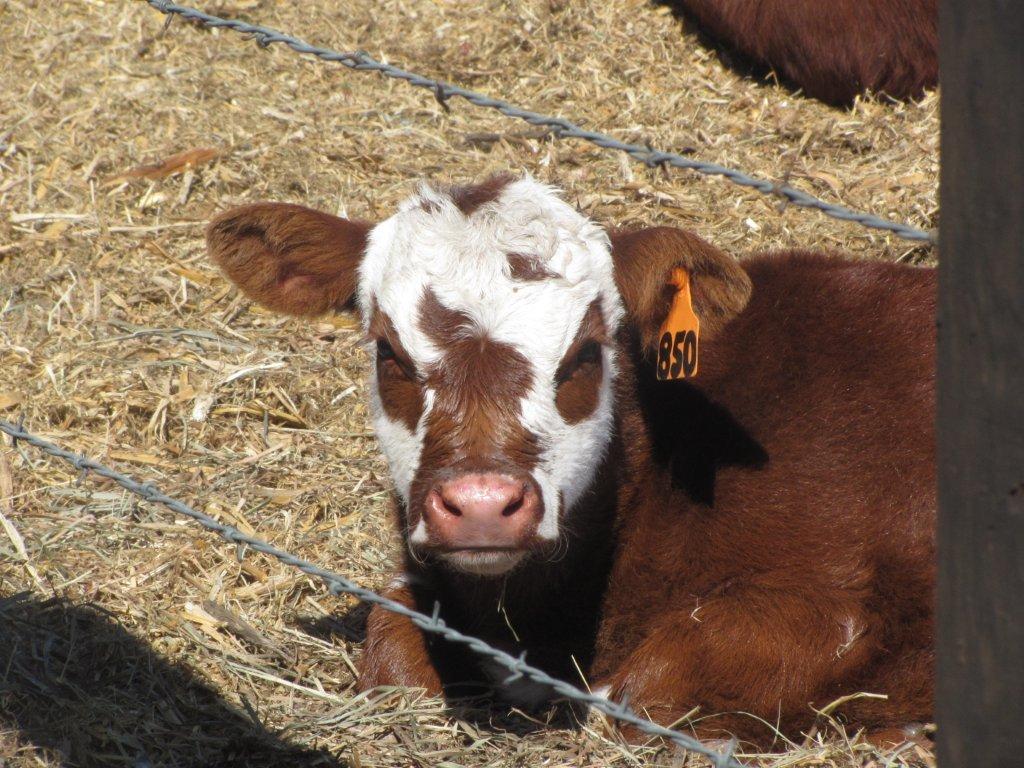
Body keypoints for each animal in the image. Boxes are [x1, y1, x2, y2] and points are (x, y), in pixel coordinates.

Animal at [206, 174, 935, 747]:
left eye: (586, 352)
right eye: (389, 351)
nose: (480, 506)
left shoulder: (842, 606)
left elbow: (641, 695)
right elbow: (392, 643)